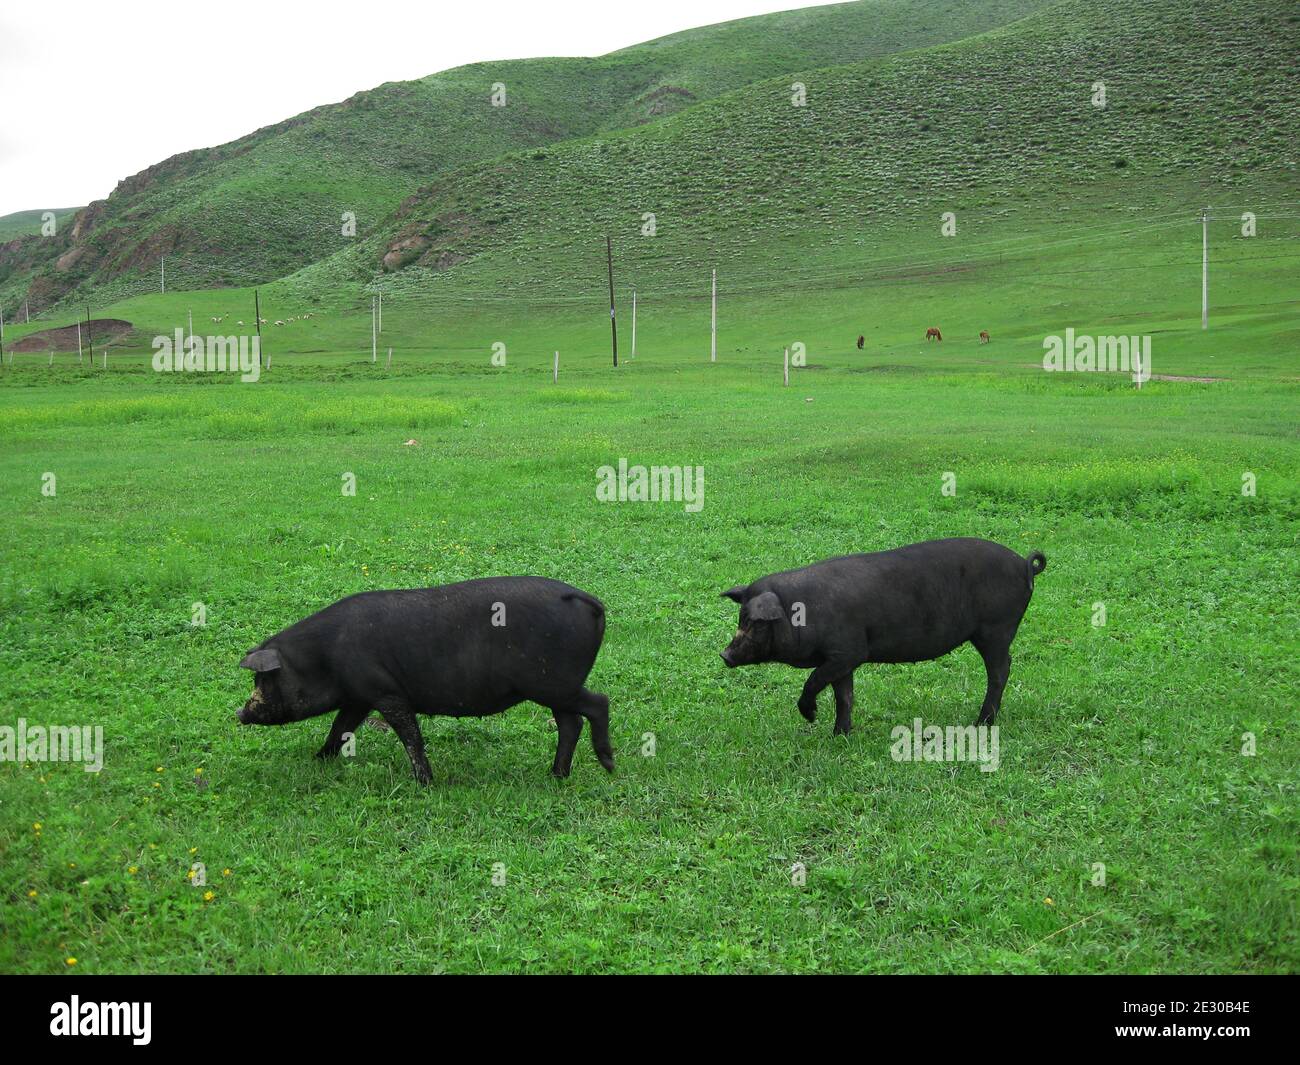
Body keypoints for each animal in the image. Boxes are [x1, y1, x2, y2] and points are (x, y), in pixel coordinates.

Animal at [237, 577, 613, 783]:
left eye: (263, 680)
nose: (240, 713)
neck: (322, 659)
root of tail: (589, 600)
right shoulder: (358, 697)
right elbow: (340, 729)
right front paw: (318, 760)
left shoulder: (386, 691)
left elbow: (410, 736)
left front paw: (425, 783)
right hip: (553, 688)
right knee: (571, 722)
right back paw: (557, 775)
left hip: (551, 683)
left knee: (598, 704)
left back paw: (607, 766)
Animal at [720, 538, 1046, 733]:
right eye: (740, 617)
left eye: (755, 623)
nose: (724, 654)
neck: (801, 611)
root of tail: (1023, 564)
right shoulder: (841, 659)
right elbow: (845, 696)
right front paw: (840, 735)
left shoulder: (849, 652)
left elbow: (814, 680)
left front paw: (811, 717)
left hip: (996, 629)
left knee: (1001, 670)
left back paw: (981, 724)